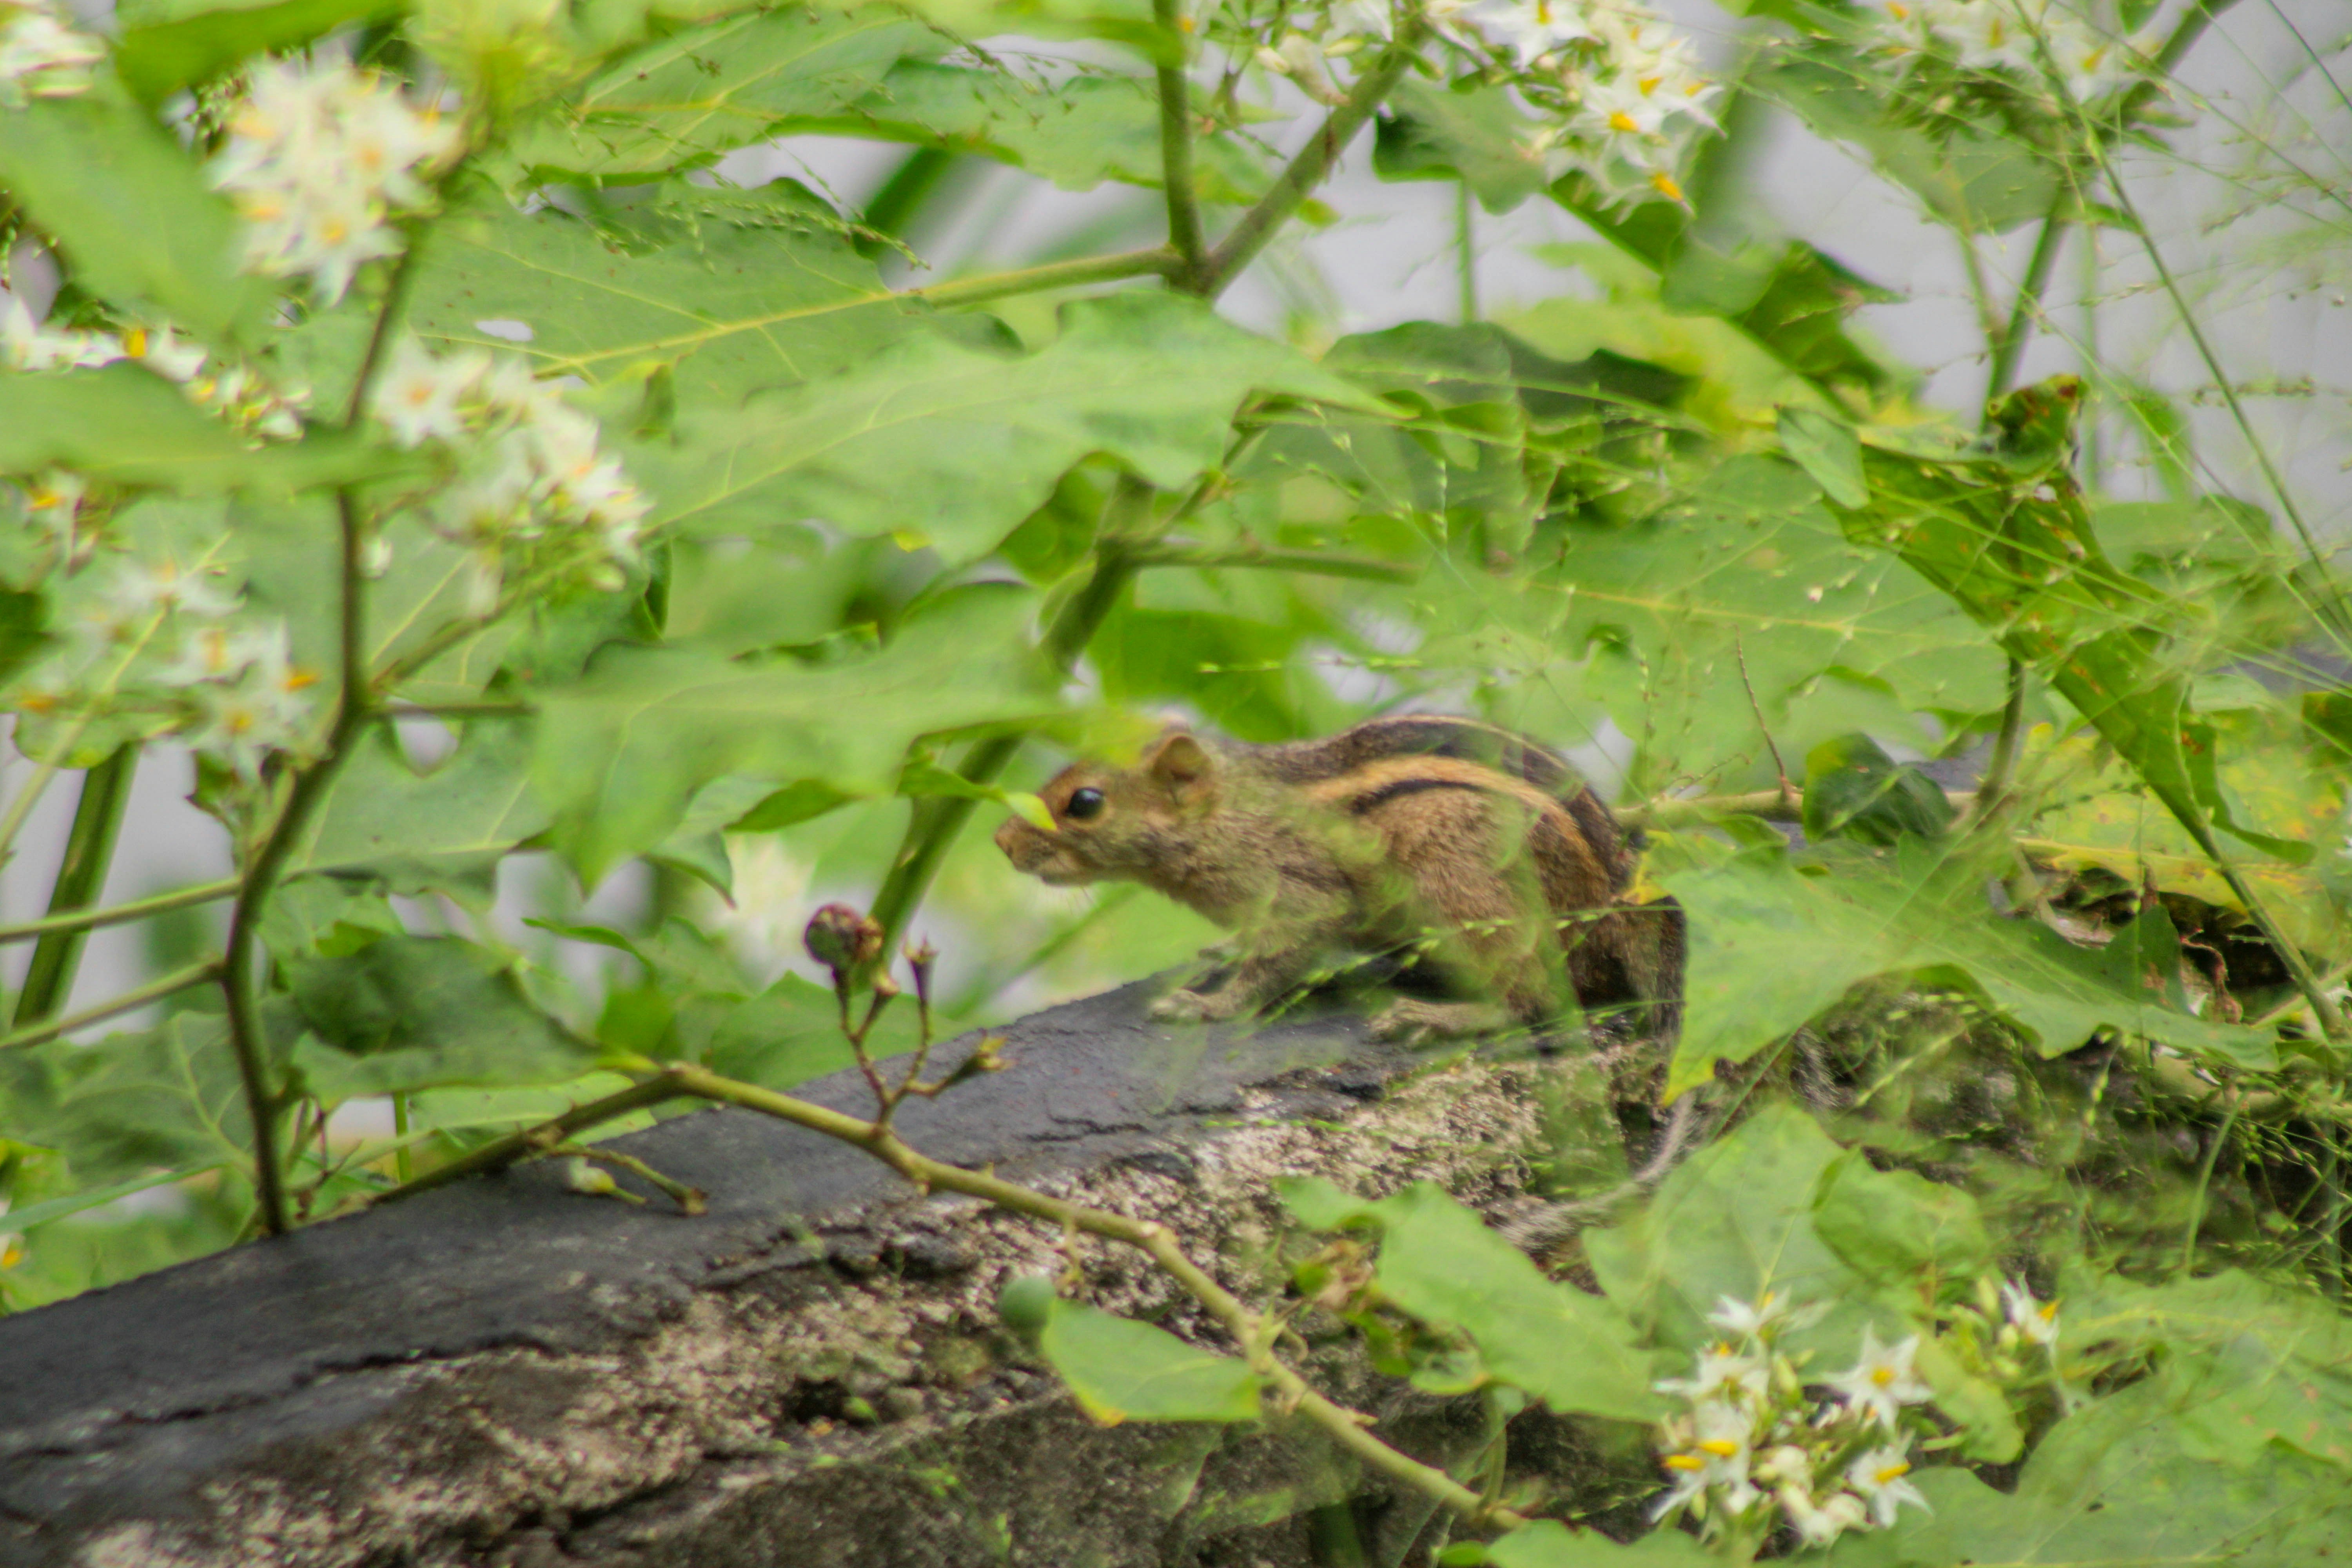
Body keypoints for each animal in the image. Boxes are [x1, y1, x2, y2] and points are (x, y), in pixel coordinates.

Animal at [993, 715, 1683, 1040]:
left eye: (1085, 803)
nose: (1001, 842)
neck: (1230, 814)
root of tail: (1619, 899)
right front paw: (1224, 951)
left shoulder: (1298, 892)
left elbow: (1279, 958)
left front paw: (1210, 1006)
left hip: (1468, 888)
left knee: (1534, 998)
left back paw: (1443, 1018)